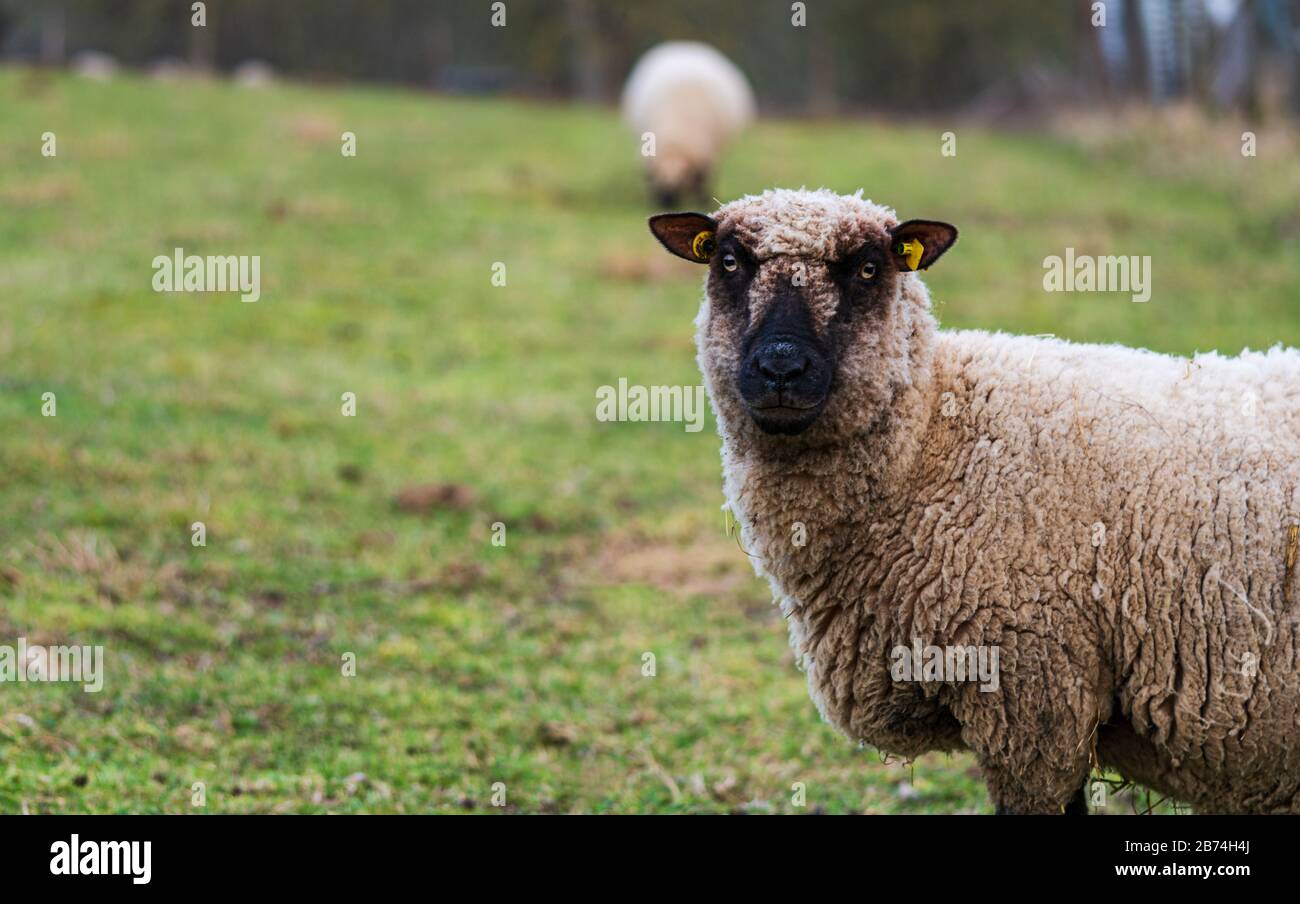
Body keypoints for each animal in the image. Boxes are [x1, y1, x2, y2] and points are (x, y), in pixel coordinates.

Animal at [621, 41, 755, 208]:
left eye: (681, 179)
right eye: (659, 179)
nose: (667, 201)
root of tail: (685, 44)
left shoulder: (706, 155)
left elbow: (704, 179)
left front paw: (703, 201)